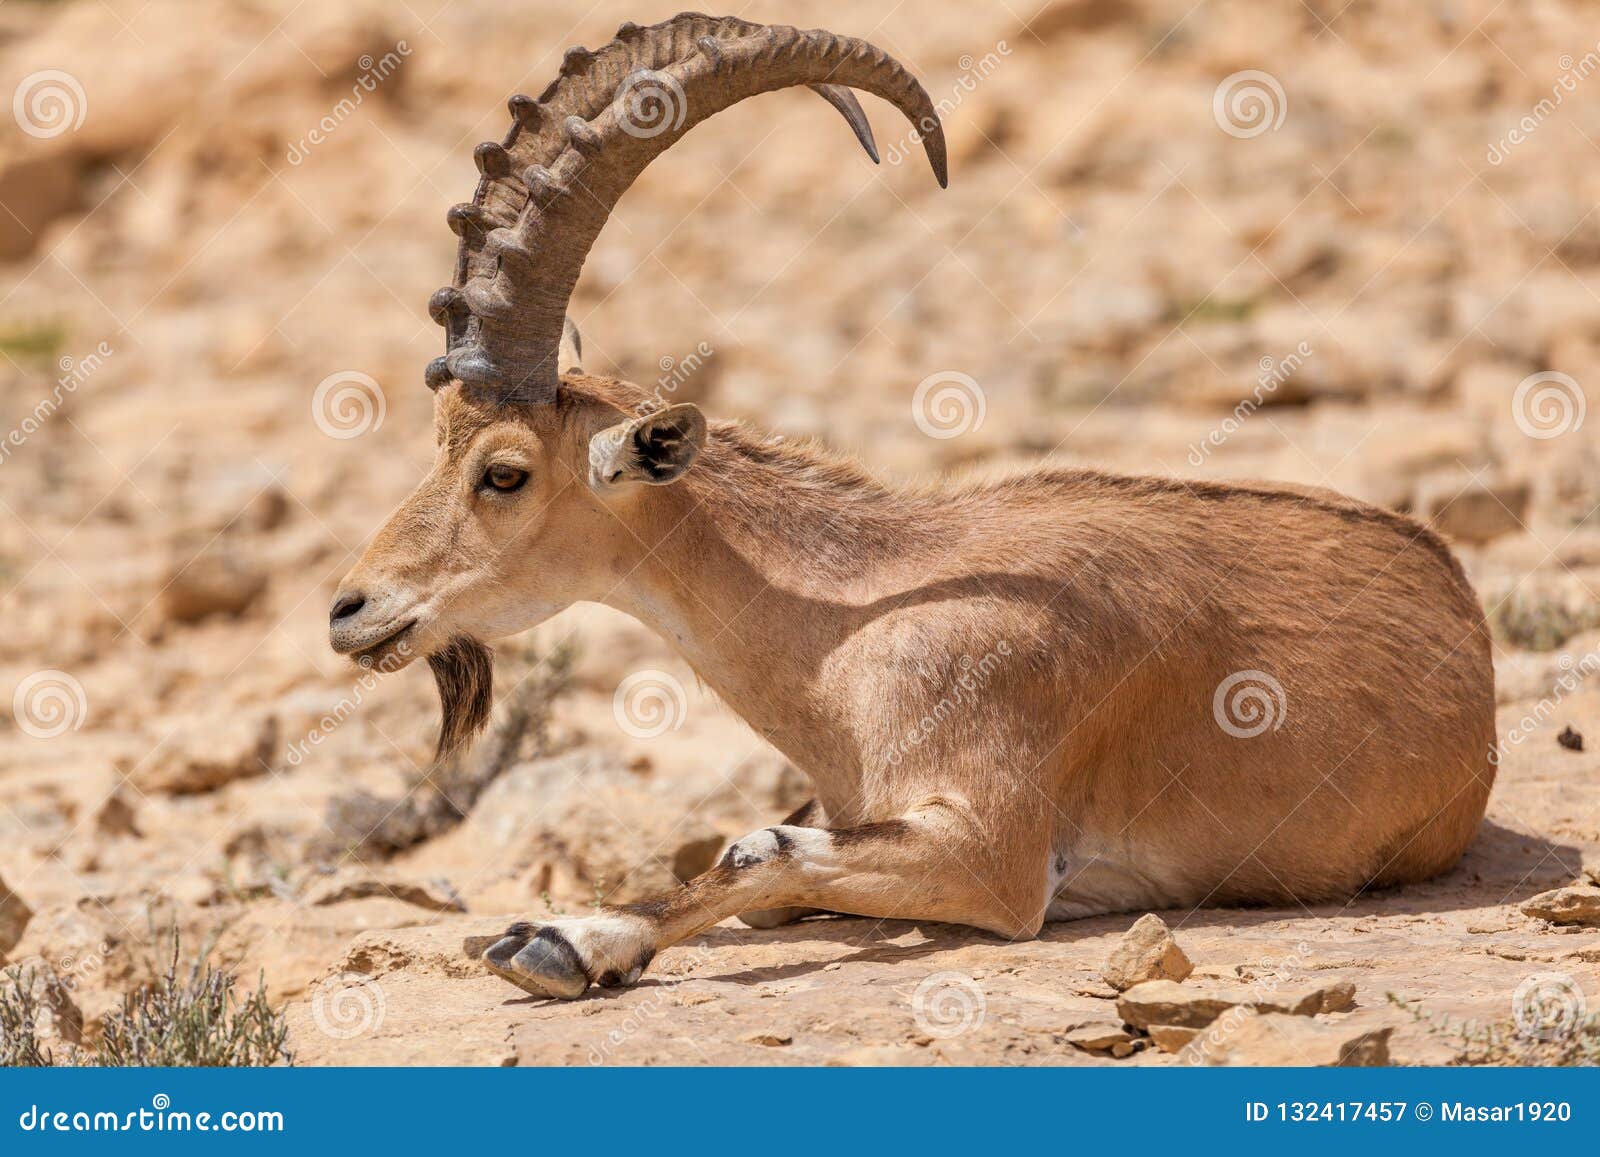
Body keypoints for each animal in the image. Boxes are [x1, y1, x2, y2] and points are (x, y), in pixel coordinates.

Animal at [330, 13, 1496, 999]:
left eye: (504, 471)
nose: (351, 609)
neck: (848, 635)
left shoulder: (996, 857)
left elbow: (756, 849)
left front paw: (564, 938)